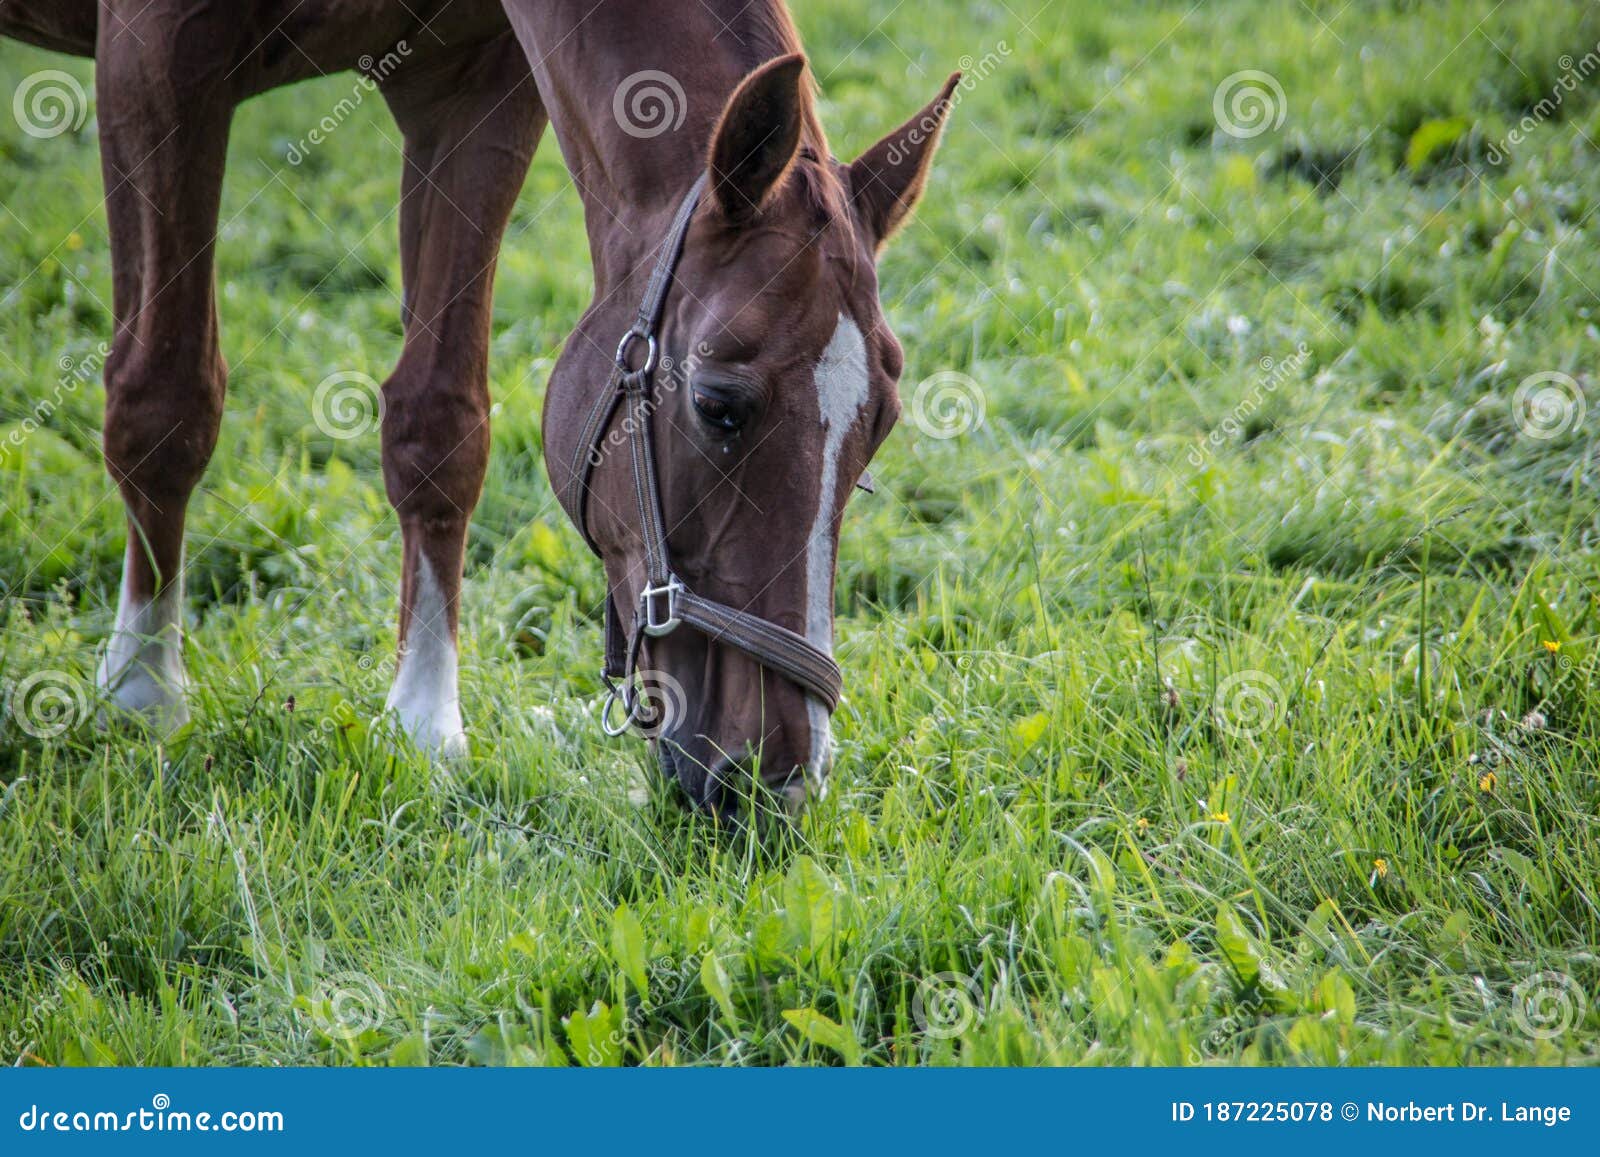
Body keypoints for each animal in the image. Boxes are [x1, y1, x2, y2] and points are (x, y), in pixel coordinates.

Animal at [2, 0, 955, 814]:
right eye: (720, 405)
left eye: (878, 431)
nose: (782, 781)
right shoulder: (155, 58)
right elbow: (163, 396)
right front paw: (142, 692)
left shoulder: (472, 81)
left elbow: (439, 422)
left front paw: (423, 720)